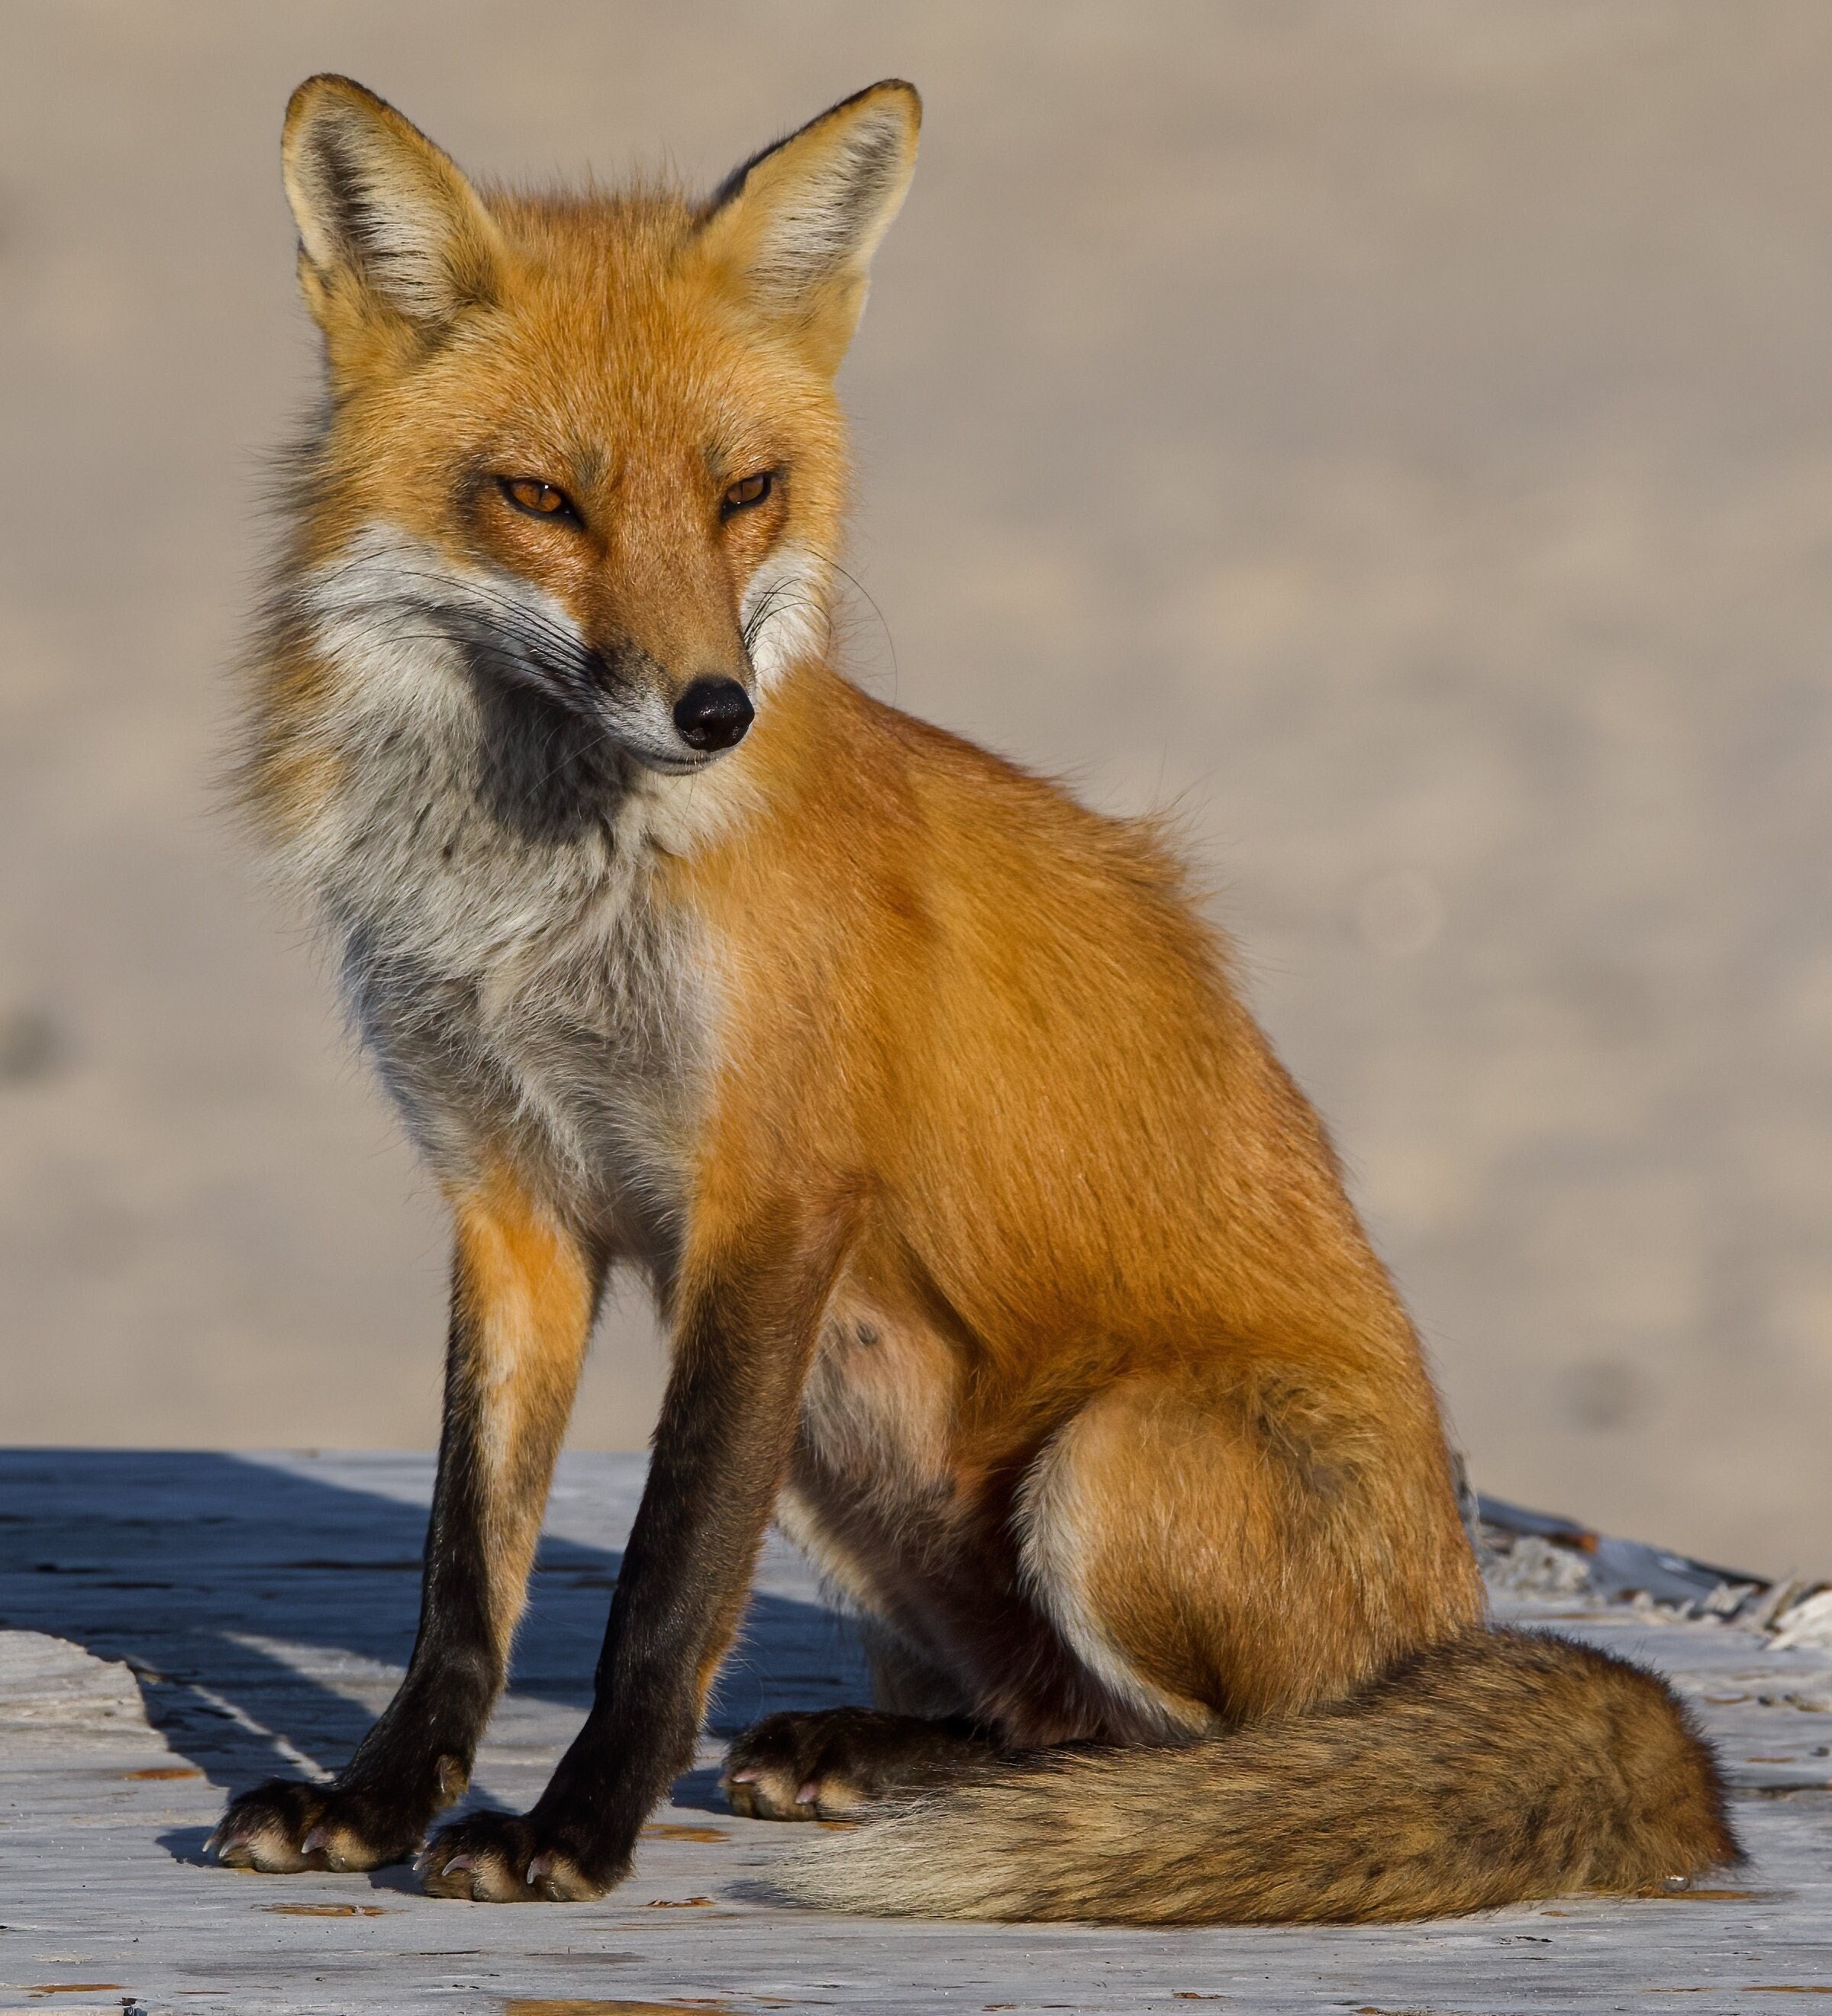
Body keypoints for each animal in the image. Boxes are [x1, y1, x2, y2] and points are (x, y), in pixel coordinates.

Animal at [209, 73, 1737, 1921]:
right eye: (540, 498)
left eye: (745, 491)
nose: (712, 708)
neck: (535, 896)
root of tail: (1456, 1623)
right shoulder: (508, 1197)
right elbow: (462, 1575)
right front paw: (375, 1798)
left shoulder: (769, 1200)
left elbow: (664, 1579)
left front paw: (574, 1830)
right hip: (853, 1447)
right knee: (1054, 1715)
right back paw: (876, 1752)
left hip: (1104, 1463)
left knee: (1201, 1762)